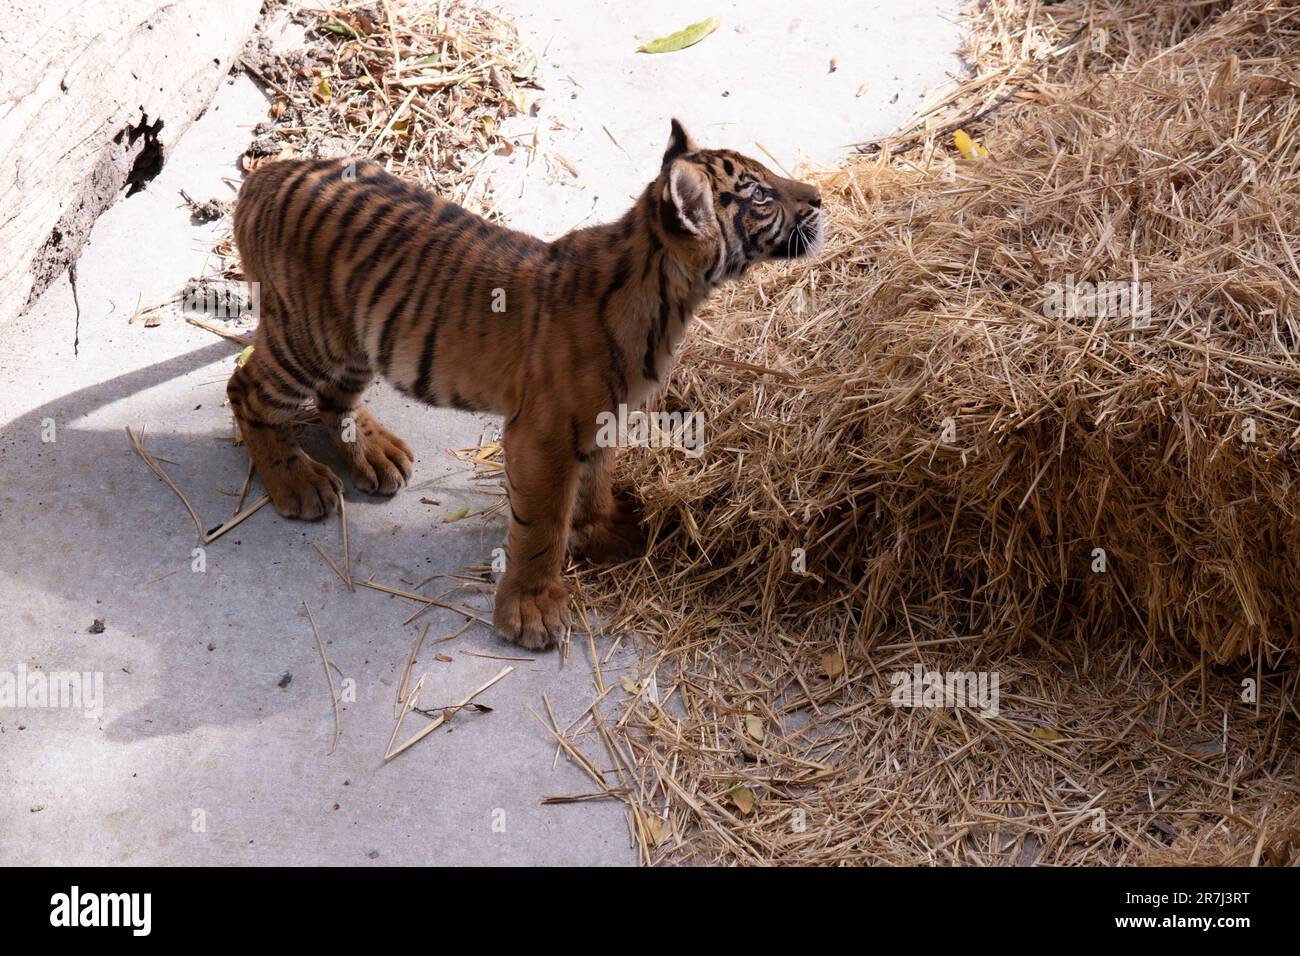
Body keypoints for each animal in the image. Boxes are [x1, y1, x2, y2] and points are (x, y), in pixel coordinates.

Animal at [228, 119, 823, 649]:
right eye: (762, 195)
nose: (818, 198)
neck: (666, 293)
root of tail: (264, 177)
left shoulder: (604, 414)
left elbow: (595, 481)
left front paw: (605, 529)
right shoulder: (543, 434)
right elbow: (541, 525)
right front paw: (532, 610)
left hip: (360, 342)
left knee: (334, 400)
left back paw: (376, 454)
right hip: (310, 340)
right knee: (246, 390)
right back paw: (297, 483)